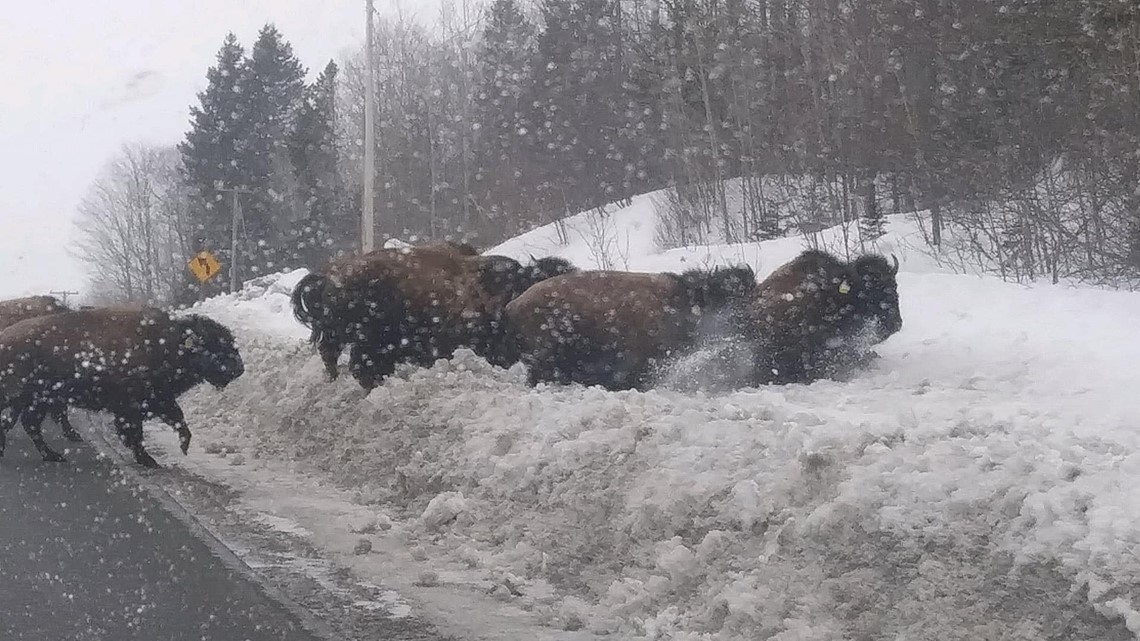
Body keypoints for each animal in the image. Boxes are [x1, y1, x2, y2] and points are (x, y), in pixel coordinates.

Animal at [0, 307, 244, 468]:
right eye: (213, 344)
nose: (238, 369)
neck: (167, 341)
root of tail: (6, 339)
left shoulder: (158, 399)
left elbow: (178, 419)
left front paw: (180, 448)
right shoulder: (134, 406)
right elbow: (136, 432)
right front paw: (148, 460)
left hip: (32, 401)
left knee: (24, 424)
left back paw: (51, 455)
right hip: (28, 399)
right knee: (25, 424)